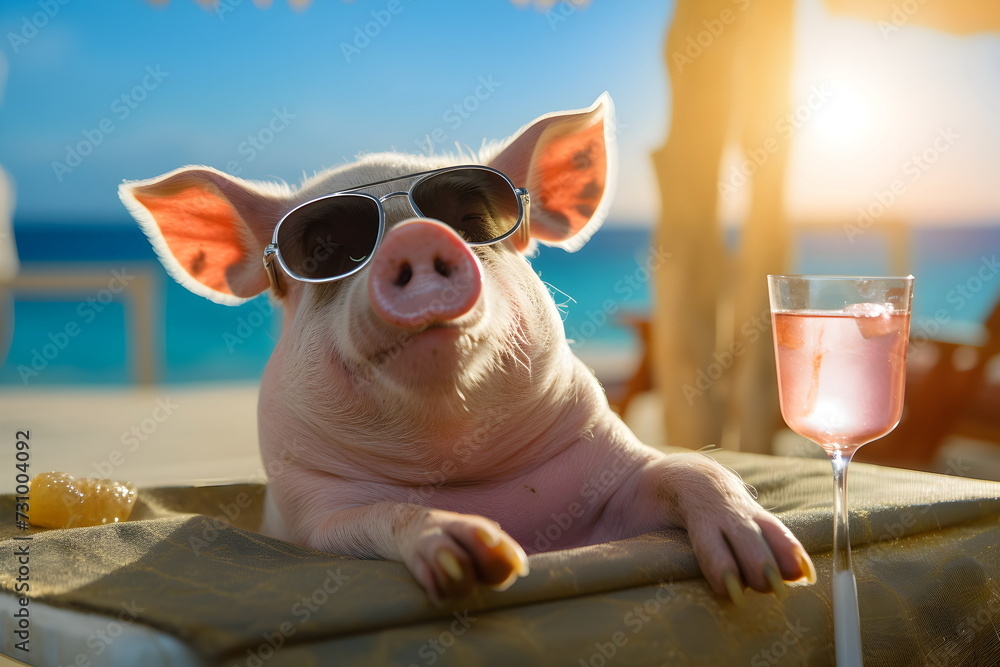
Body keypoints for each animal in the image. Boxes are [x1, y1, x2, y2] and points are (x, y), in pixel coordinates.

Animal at [119, 93, 815, 605]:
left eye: (475, 222)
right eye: (321, 251)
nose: (418, 238)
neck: (456, 460)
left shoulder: (612, 473)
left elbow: (687, 466)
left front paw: (772, 572)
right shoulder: (311, 521)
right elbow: (382, 515)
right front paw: (480, 561)